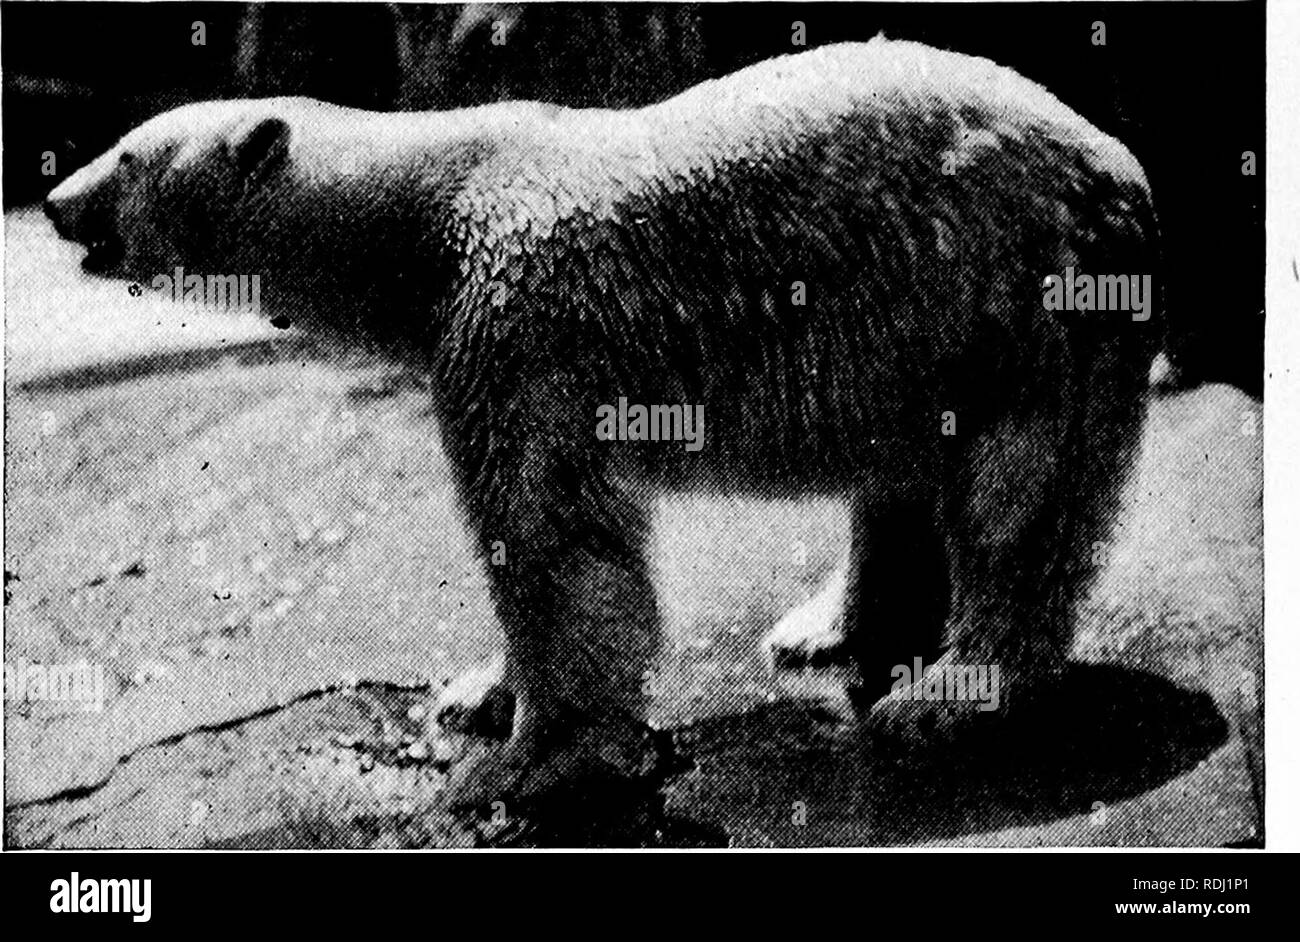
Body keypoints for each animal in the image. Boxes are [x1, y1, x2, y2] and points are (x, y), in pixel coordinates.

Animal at [43, 37, 1160, 815]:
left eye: (129, 155)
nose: (53, 201)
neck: (425, 215)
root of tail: (1121, 167)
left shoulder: (518, 319)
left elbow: (552, 535)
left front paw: (523, 765)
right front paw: (477, 694)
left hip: (1020, 296)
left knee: (1018, 493)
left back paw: (948, 697)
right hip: (924, 337)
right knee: (903, 476)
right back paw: (827, 628)